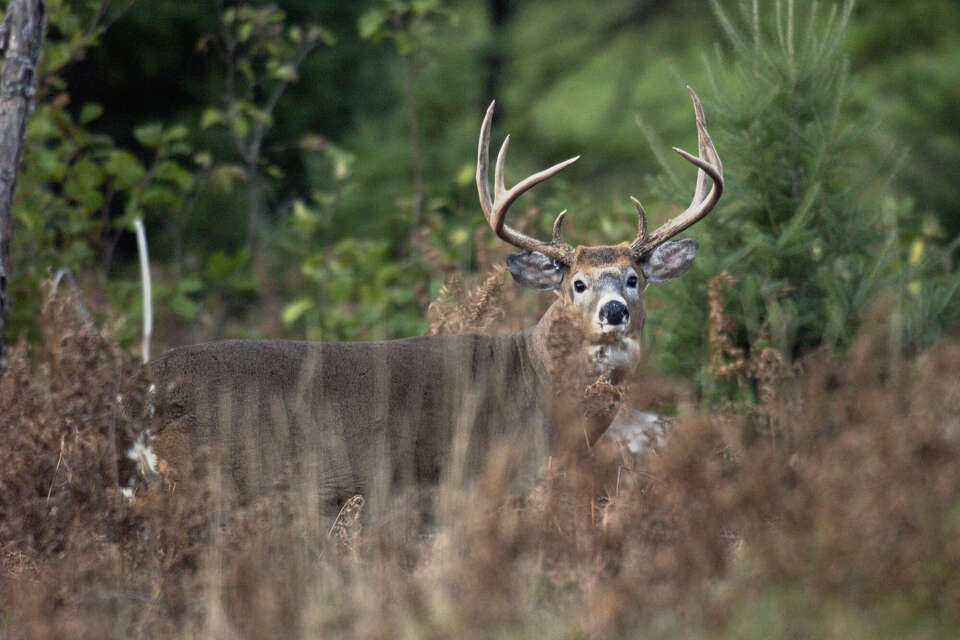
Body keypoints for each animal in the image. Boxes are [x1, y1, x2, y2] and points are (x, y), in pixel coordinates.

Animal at [147, 87, 722, 513]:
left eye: (633, 278)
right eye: (576, 283)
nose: (614, 311)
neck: (535, 386)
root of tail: (143, 386)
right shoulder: (462, 483)